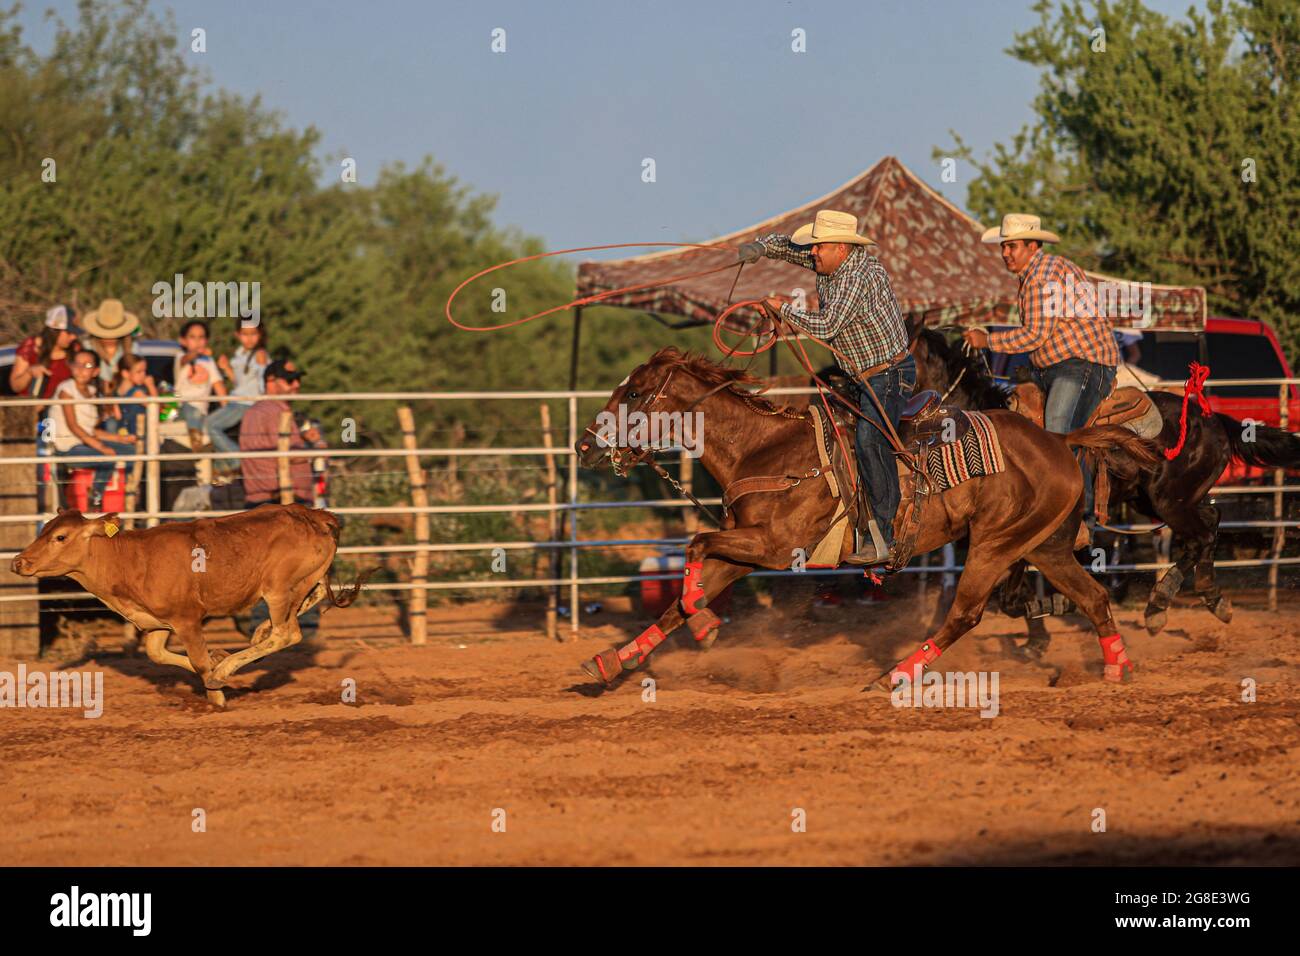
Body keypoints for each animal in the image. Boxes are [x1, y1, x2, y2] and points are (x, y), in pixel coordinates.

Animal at [573, 346, 1161, 689]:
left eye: (632, 391)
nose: (584, 447)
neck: (765, 449)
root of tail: (1061, 439)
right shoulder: (746, 547)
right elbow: (680, 597)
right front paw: (615, 661)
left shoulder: (775, 547)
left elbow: (695, 544)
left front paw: (706, 625)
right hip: (1044, 545)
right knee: (1094, 597)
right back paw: (1115, 669)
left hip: (995, 544)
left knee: (966, 613)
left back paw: (894, 676)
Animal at [911, 328, 1300, 637]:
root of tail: (1216, 420)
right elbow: (1009, 599)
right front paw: (1047, 613)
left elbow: (1011, 595)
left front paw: (1049, 614)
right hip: (1161, 498)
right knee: (1210, 524)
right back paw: (1198, 599)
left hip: (1169, 501)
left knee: (1201, 536)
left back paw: (1166, 603)